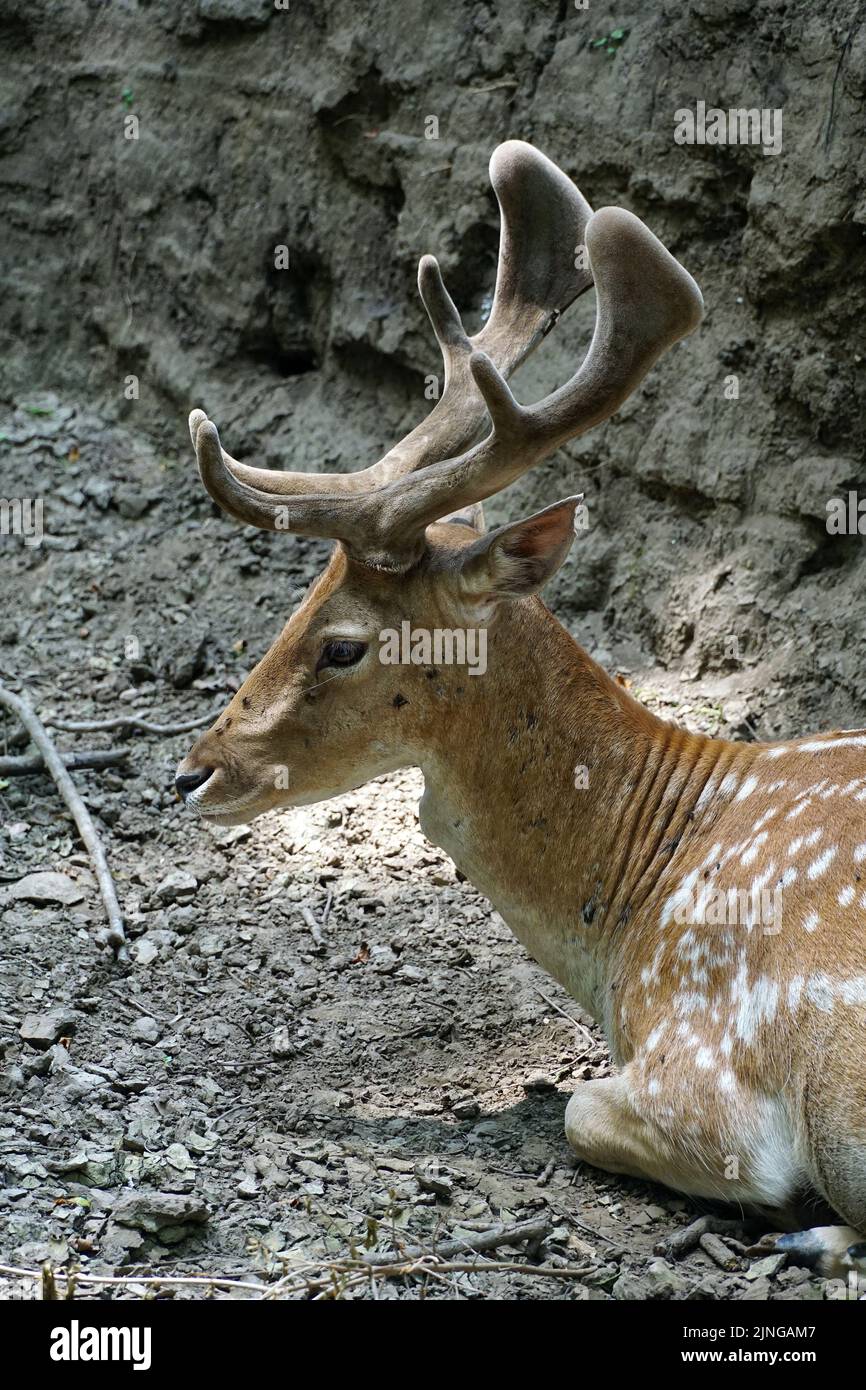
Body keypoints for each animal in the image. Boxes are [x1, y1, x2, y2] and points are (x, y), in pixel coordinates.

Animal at [176, 141, 866, 1280]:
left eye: (343, 643)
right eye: (299, 602)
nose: (194, 770)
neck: (635, 910)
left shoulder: (710, 1074)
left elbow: (579, 1111)